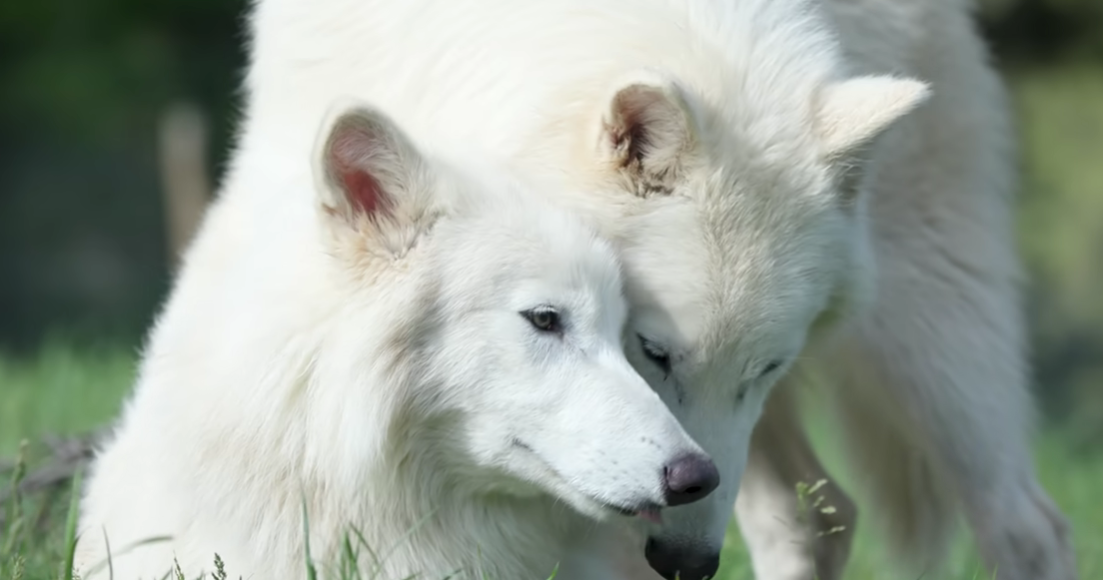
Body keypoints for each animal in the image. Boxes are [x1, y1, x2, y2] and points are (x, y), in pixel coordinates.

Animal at [232, 0, 1079, 579]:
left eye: (768, 368)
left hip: (924, 338)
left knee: (1026, 526)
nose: (688, 563)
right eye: (652, 351)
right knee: (812, 518)